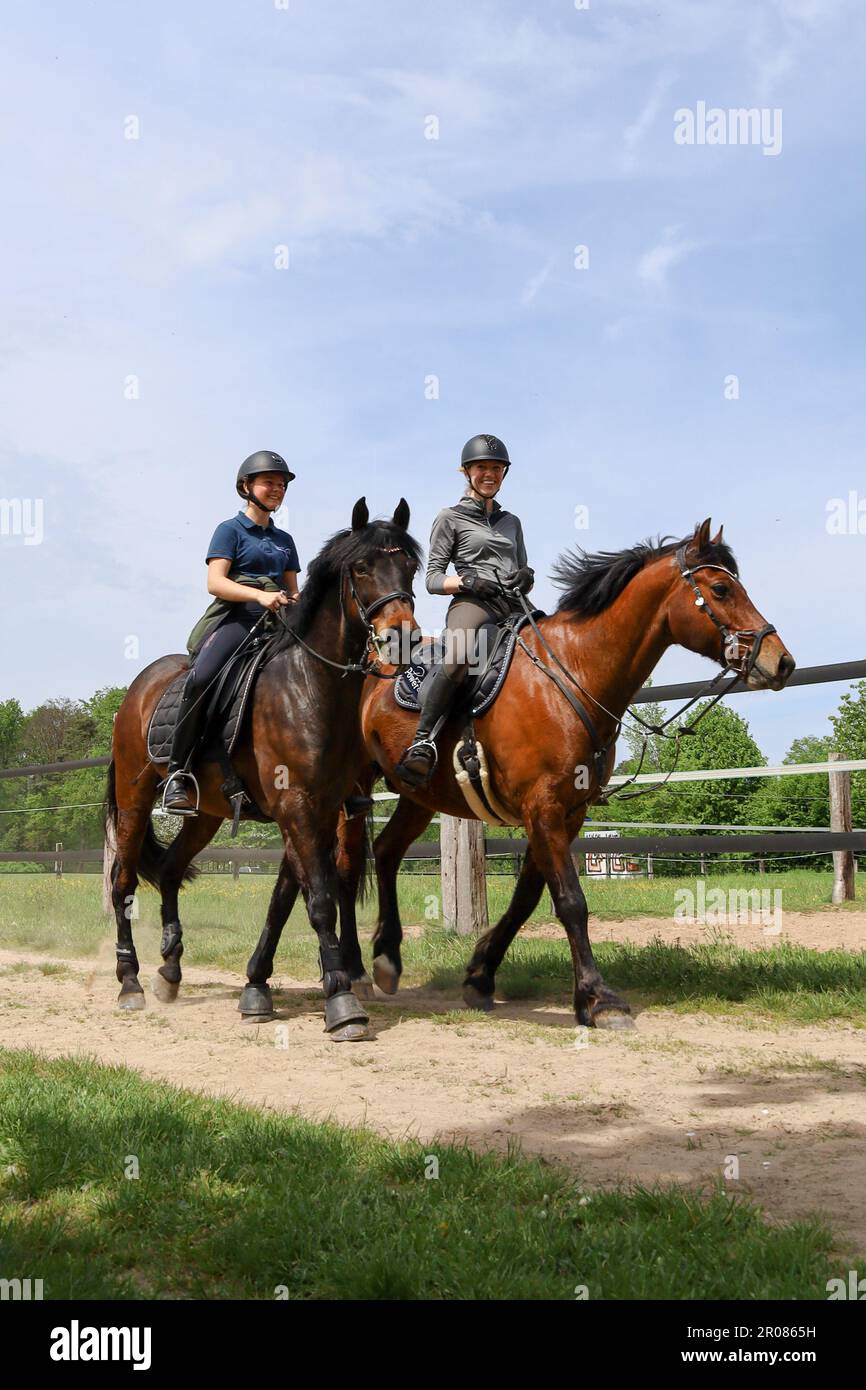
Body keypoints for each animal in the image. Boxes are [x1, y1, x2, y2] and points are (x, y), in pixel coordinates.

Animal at [104, 498, 420, 1041]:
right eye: (362, 567)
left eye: (411, 568)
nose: (402, 638)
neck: (310, 686)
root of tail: (136, 691)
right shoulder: (297, 806)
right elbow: (318, 897)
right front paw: (342, 1002)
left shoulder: (320, 808)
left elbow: (288, 896)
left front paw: (259, 987)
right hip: (134, 799)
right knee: (122, 882)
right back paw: (130, 983)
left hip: (206, 814)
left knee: (169, 869)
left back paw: (170, 971)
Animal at [335, 519, 795, 1030]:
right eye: (720, 589)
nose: (781, 661)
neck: (571, 673)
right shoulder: (544, 807)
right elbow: (571, 901)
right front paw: (600, 998)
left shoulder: (566, 812)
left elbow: (528, 896)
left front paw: (481, 976)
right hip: (350, 789)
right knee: (346, 865)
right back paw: (350, 971)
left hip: (418, 796)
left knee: (386, 852)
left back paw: (386, 958)